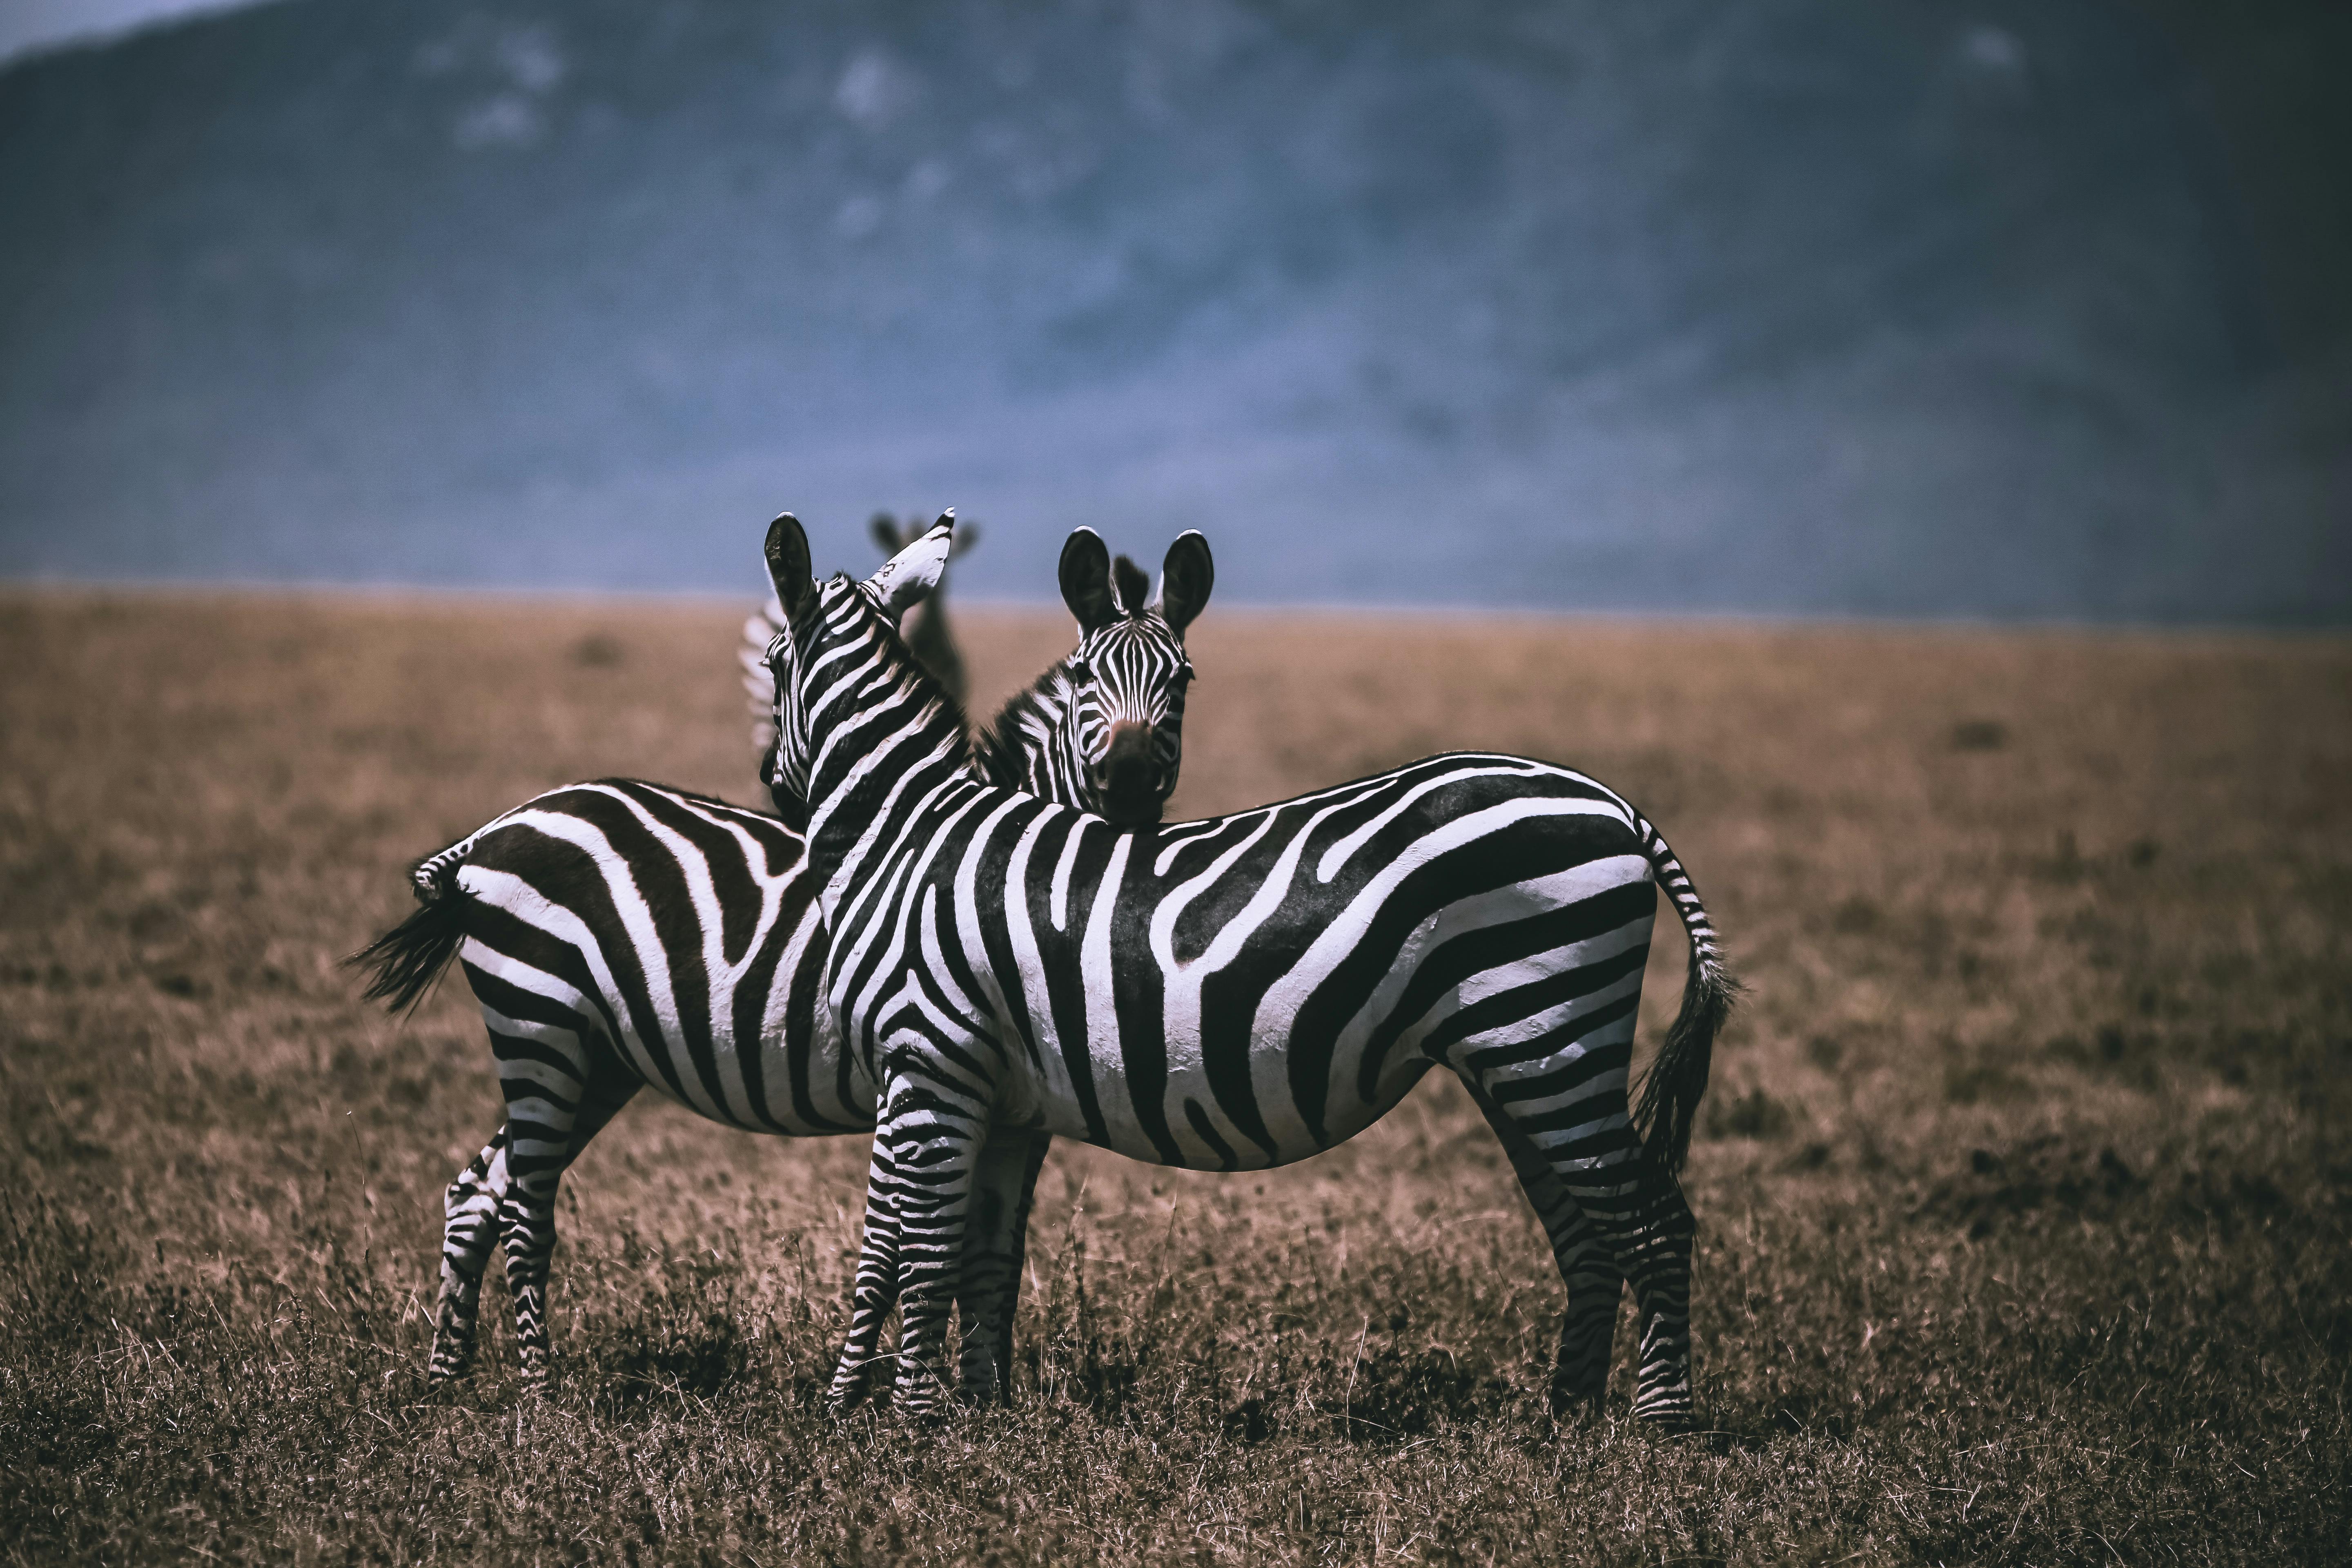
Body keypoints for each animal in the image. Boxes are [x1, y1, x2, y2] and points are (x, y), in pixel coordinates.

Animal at [351, 520, 1214, 1385]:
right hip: (540, 1020)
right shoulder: (937, 1077)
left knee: (480, 1190)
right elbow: (932, 1243)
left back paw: (451, 1376)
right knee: (526, 1205)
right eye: (1087, 680)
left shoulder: (1012, 1101)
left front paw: (984, 1390)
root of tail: (490, 834)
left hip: (596, 1056)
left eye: (1182, 681)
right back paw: (537, 1387)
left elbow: (991, 1250)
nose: (1130, 785)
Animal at [757, 513, 1737, 1429]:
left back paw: (1661, 1427)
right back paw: (1567, 1415)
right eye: (1083, 679)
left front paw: (891, 1419)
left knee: (1655, 1224)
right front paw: (967, 1410)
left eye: (769, 663)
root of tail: (1612, 804)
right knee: (1590, 1232)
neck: (905, 834)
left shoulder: (928, 1059)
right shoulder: (995, 1095)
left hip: (1552, 1039)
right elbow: (969, 1250)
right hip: (1525, 1054)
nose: (770, 783)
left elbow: (903, 1247)